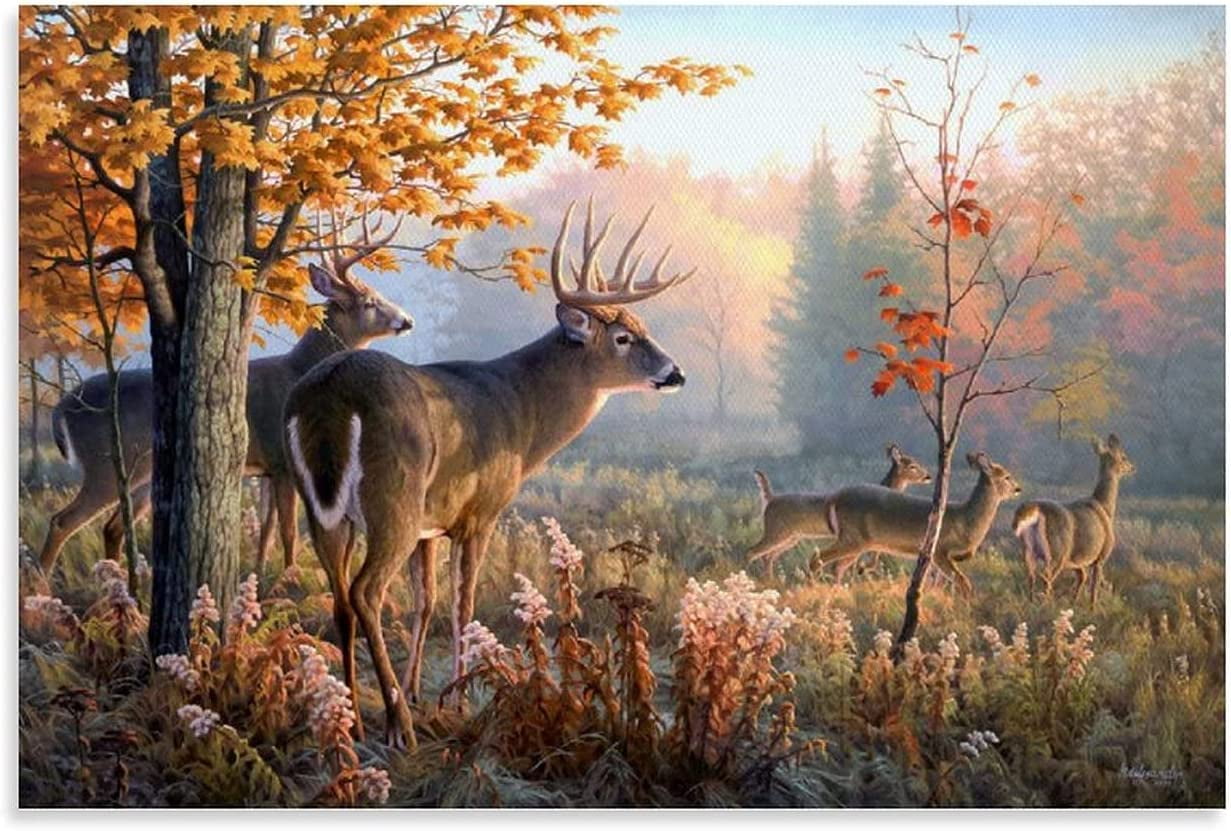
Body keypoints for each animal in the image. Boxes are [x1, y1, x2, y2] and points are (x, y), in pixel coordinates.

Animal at [39, 225, 414, 576]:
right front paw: (290, 576)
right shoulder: (282, 460)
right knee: (62, 521)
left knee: (112, 526)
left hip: (141, 473)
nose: (407, 320)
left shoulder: (266, 467)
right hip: (104, 463)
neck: (300, 370)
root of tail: (61, 408)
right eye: (369, 302)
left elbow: (267, 530)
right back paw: (43, 585)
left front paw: (262, 574)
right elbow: (289, 530)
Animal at [284, 199, 694, 748]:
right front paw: (456, 702)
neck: (520, 413)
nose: (676, 373)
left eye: (643, 324)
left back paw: (350, 714)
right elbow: (464, 603)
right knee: (365, 592)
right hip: (393, 496)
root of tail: (329, 393)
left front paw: (421, 691)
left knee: (341, 598)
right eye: (624, 337)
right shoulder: (480, 512)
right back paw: (398, 725)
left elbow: (427, 600)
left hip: (326, 510)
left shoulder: (432, 524)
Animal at [746, 443, 932, 575]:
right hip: (777, 532)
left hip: (791, 538)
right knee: (753, 551)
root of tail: (770, 499)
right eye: (912, 466)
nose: (928, 476)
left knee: (767, 556)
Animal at [806, 451, 1022, 597]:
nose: (1019, 489)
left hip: (858, 543)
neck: (966, 521)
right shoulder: (939, 551)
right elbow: (963, 583)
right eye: (1007, 476)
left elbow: (937, 585)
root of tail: (835, 497)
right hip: (853, 538)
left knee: (837, 566)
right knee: (817, 559)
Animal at [1013, 433, 1134, 603]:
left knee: (1031, 577)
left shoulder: (1077, 562)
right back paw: (1047, 604)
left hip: (1028, 551)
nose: (1132, 467)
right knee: (1045, 577)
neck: (1106, 507)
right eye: (1123, 456)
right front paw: (1091, 607)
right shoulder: (1101, 556)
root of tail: (1035, 509)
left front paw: (1074, 602)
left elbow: (1082, 578)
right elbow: (1094, 590)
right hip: (1057, 552)